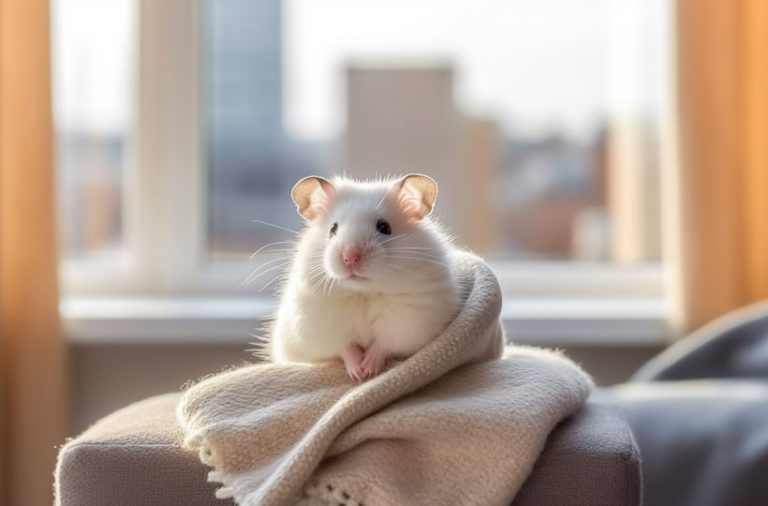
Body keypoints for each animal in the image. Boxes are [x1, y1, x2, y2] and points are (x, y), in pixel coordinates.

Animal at [267, 173, 460, 382]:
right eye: (333, 229)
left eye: (384, 227)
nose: (350, 258)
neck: (363, 292)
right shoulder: (325, 327)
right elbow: (346, 348)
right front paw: (357, 374)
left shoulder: (407, 322)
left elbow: (383, 344)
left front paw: (367, 370)